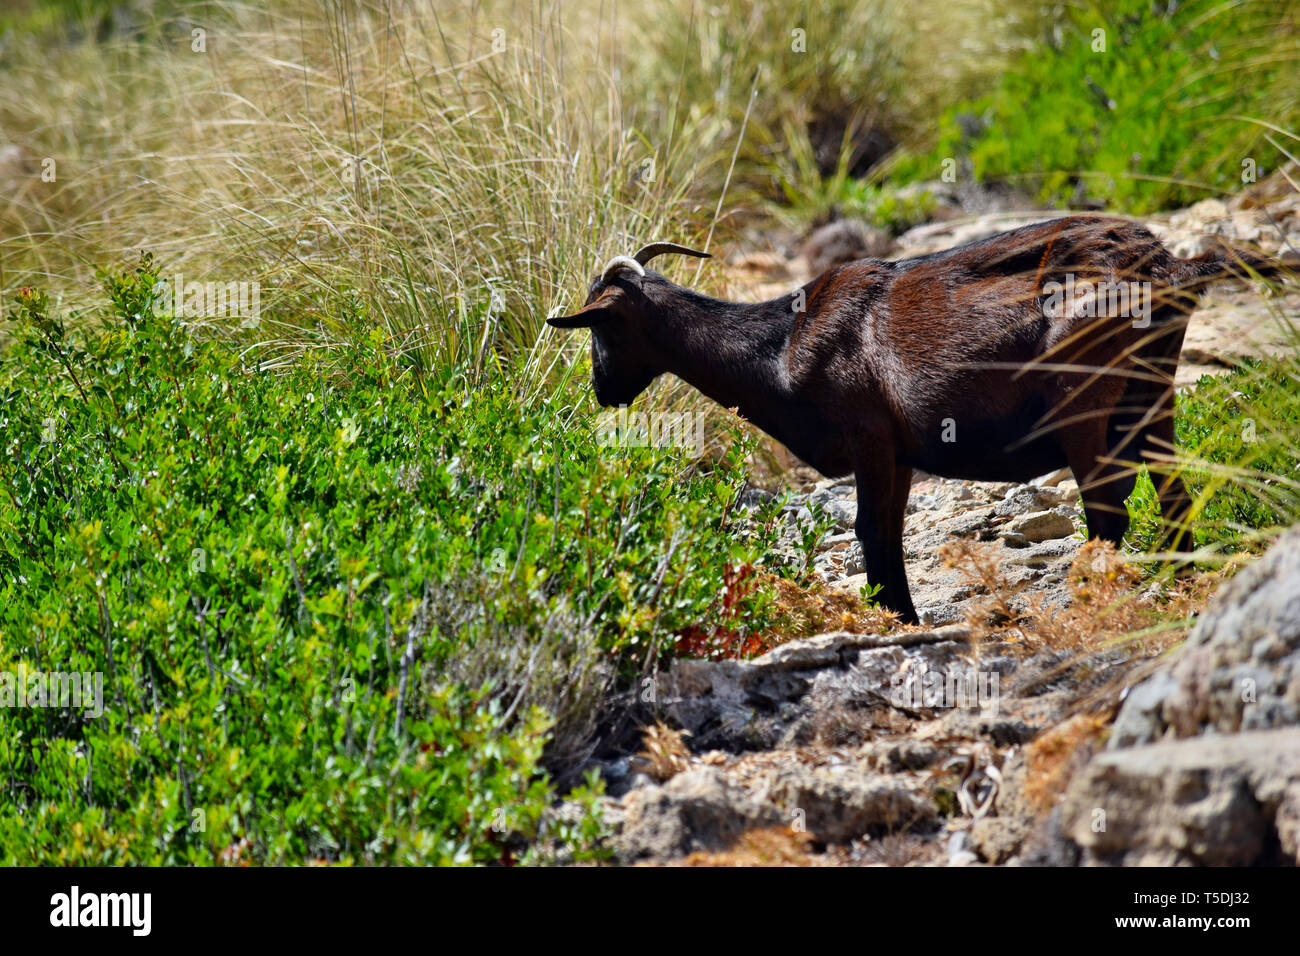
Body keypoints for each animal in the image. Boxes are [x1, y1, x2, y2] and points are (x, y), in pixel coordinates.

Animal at [548, 218, 1293, 623]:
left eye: (600, 329)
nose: (603, 391)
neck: (781, 344)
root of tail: (1172, 268)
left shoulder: (868, 435)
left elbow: (870, 530)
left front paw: (896, 618)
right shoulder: (901, 453)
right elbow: (888, 531)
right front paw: (901, 616)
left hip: (1084, 398)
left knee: (1108, 507)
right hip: (1151, 393)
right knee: (1173, 491)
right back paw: (1176, 580)